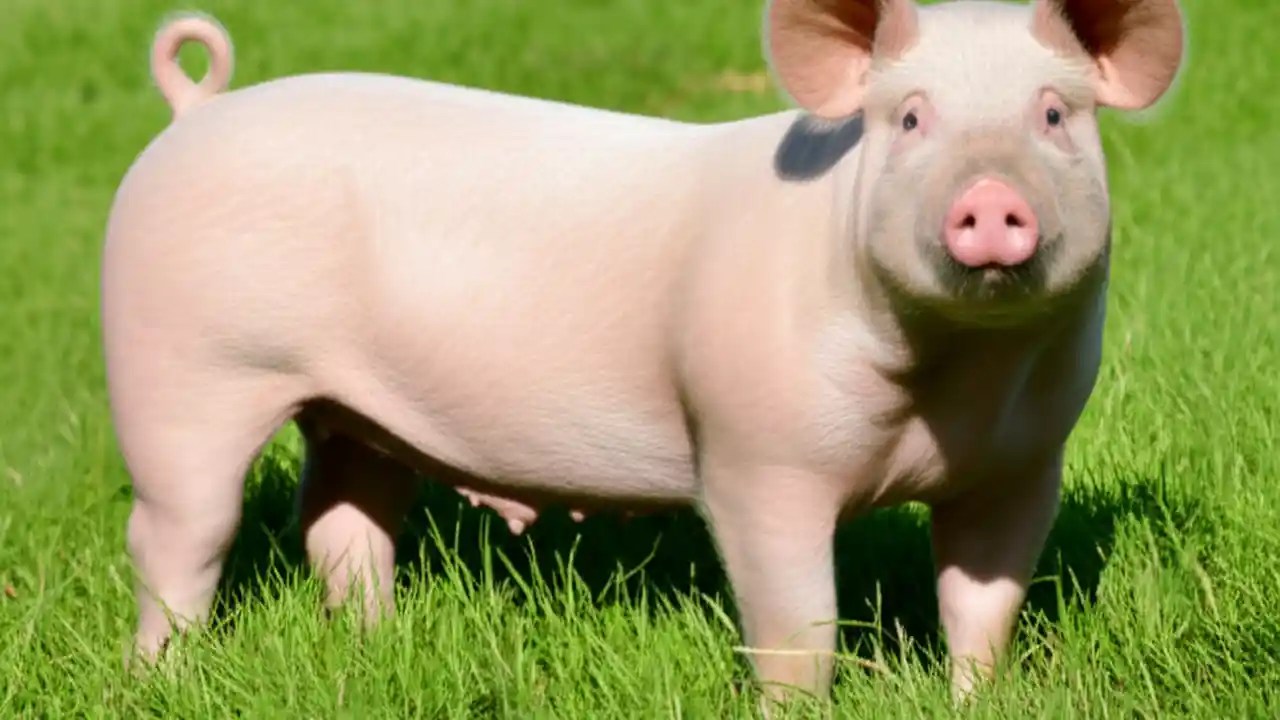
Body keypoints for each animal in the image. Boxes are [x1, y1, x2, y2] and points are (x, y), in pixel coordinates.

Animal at [101, 0, 1185, 704]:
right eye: (910, 118)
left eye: (1053, 114)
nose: (989, 197)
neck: (948, 385)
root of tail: (195, 112)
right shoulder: (753, 455)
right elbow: (795, 625)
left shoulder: (1023, 461)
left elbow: (983, 603)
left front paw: (973, 698)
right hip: (180, 367)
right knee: (178, 540)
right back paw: (159, 677)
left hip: (349, 413)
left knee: (342, 524)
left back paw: (372, 651)